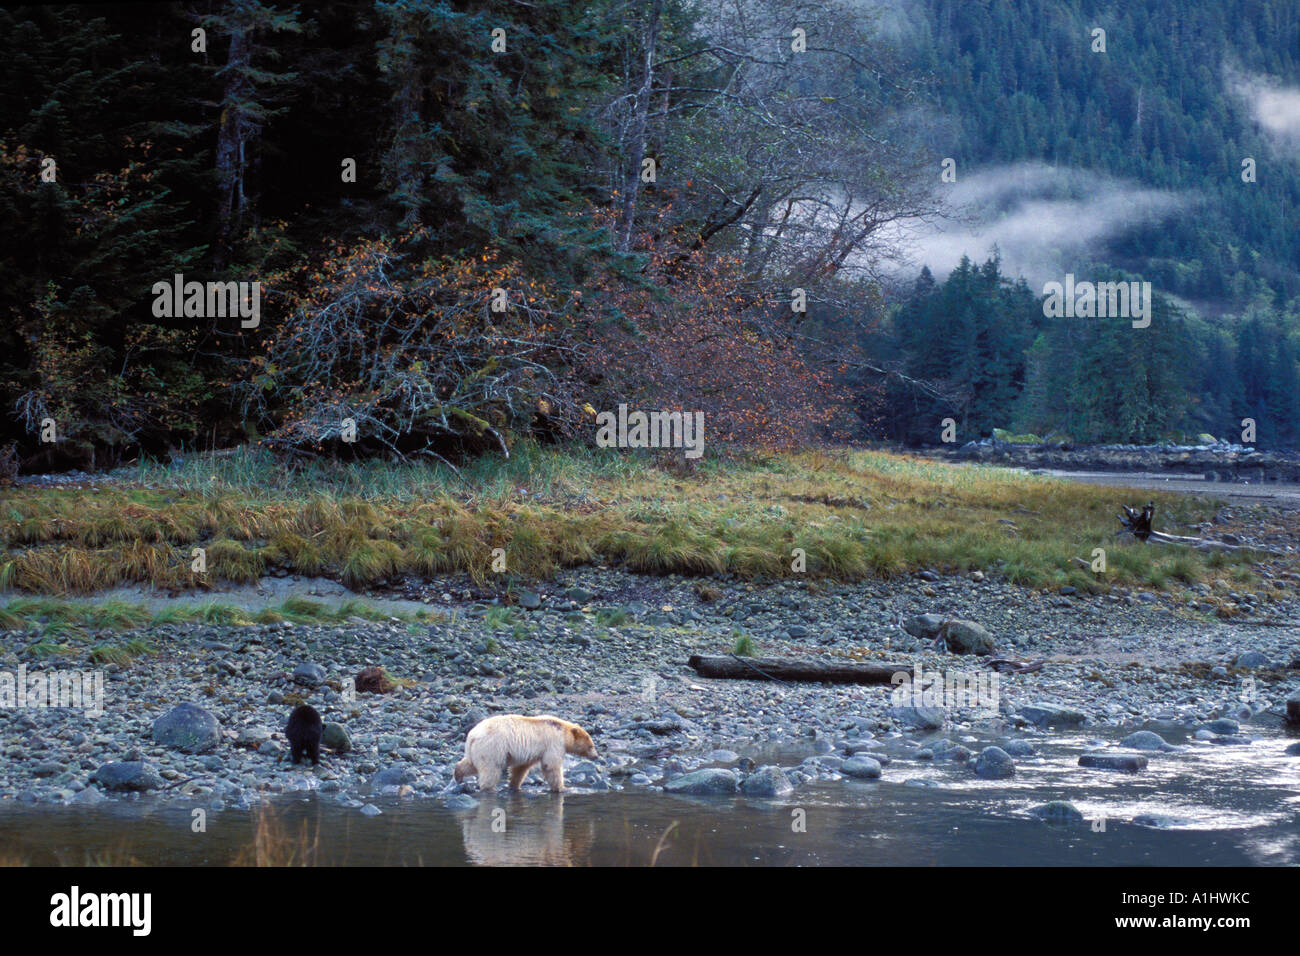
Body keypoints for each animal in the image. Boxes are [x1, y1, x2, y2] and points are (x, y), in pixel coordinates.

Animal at [453, 714, 598, 793]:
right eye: (591, 746)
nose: (596, 756)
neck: (562, 730)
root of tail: (472, 736)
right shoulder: (554, 743)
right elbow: (551, 765)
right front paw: (563, 788)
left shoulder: (531, 753)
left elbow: (520, 768)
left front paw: (514, 786)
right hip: (492, 747)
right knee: (491, 769)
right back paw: (489, 788)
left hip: (477, 750)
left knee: (470, 764)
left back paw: (458, 774)